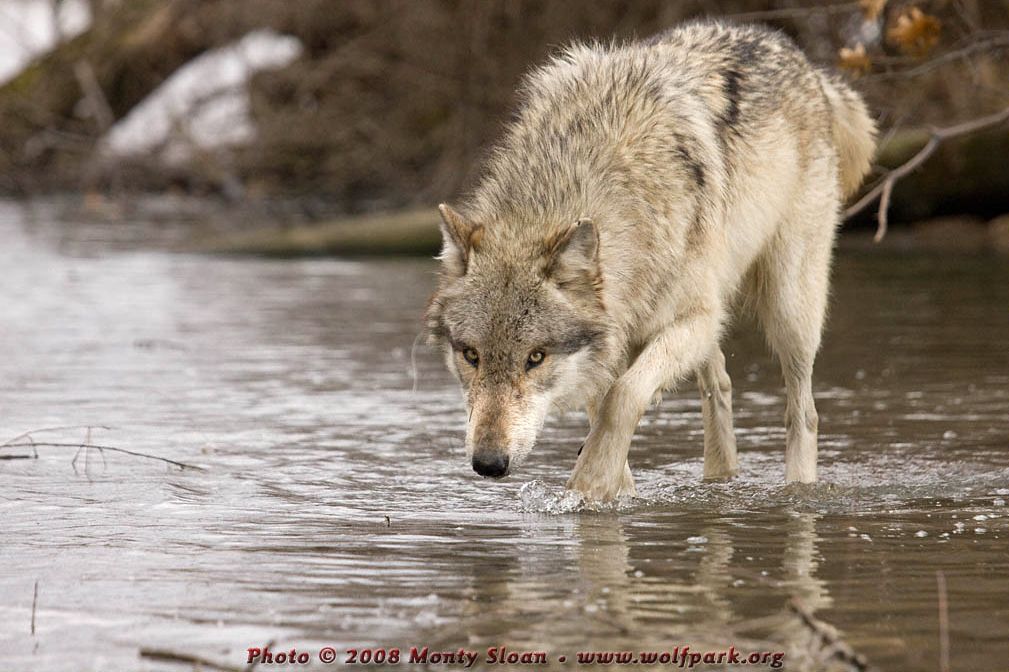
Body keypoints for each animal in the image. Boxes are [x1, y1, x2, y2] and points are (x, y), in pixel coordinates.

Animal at [424, 20, 875, 501]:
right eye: (471, 355)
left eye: (536, 357)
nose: (488, 463)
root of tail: (802, 60)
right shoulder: (613, 339)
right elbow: (604, 404)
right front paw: (616, 485)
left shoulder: (692, 320)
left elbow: (623, 397)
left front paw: (593, 478)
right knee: (719, 387)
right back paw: (719, 479)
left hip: (788, 309)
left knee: (803, 412)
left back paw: (799, 488)